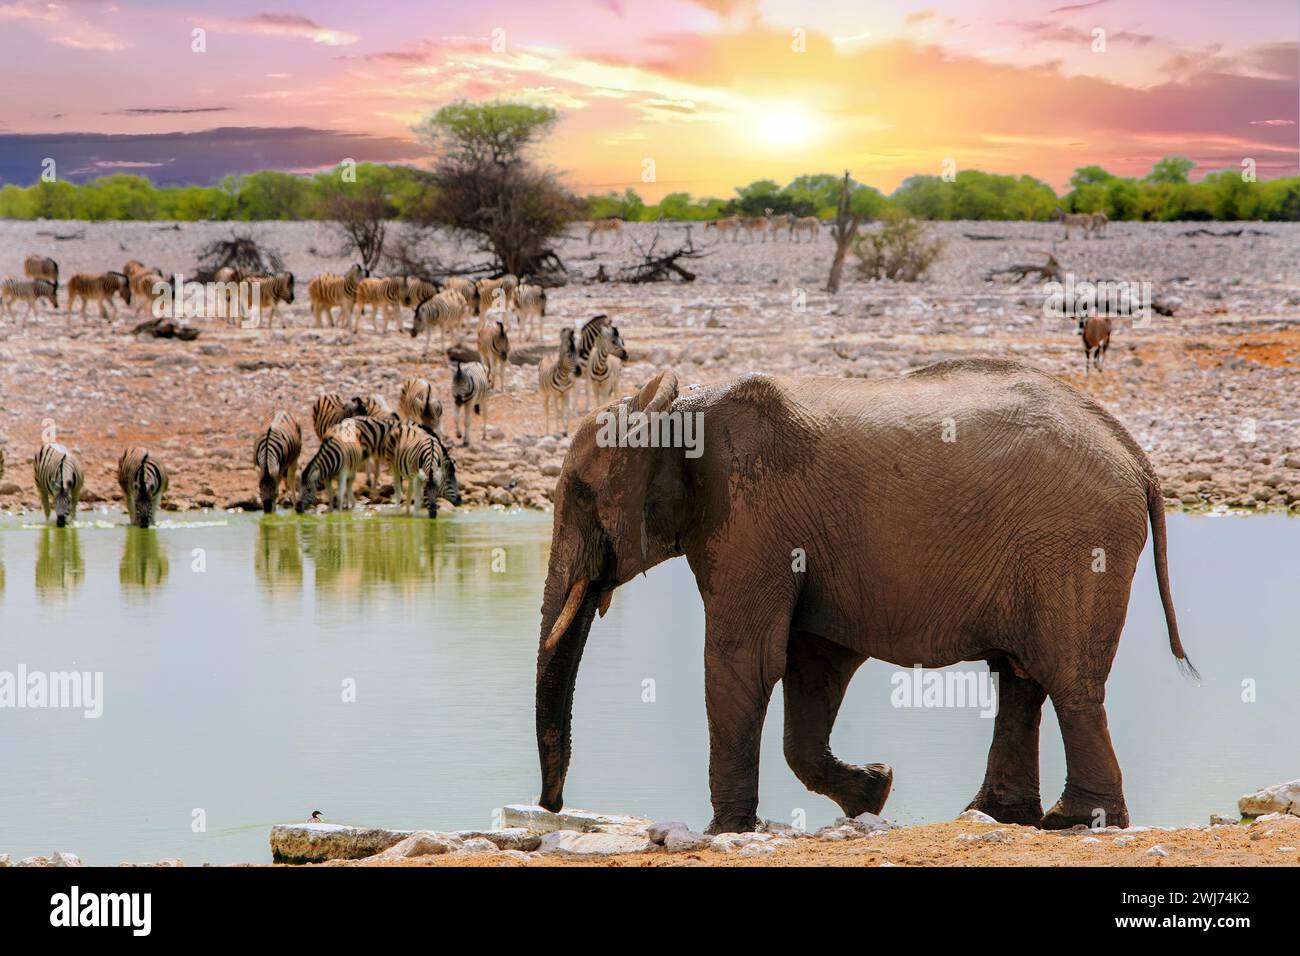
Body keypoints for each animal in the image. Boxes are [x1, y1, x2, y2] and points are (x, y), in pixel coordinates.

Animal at [535, 358, 1194, 835]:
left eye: (582, 493)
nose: (551, 807)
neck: (676, 407)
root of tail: (1138, 458)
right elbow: (811, 666)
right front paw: (876, 789)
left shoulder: (749, 518)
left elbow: (743, 661)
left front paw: (727, 830)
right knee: (1019, 679)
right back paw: (996, 815)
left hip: (1075, 545)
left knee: (1067, 681)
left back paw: (1073, 822)